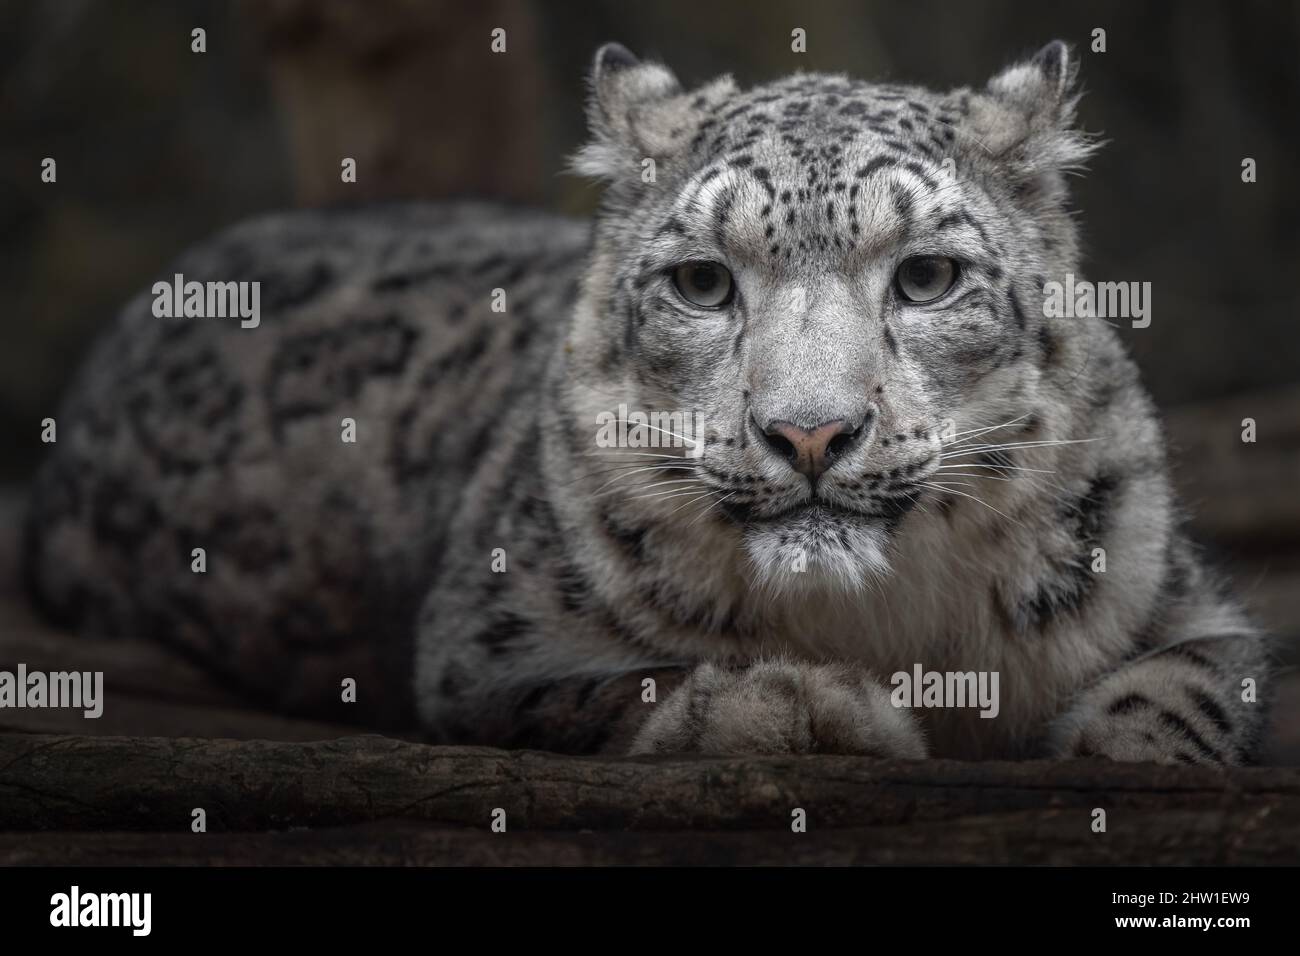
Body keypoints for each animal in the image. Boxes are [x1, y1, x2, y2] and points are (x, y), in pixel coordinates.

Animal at [24, 41, 1271, 763]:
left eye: (925, 276)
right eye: (702, 283)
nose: (809, 431)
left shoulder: (1170, 589)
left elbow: (1195, 684)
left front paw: (1127, 749)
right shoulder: (497, 637)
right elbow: (628, 681)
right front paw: (798, 706)